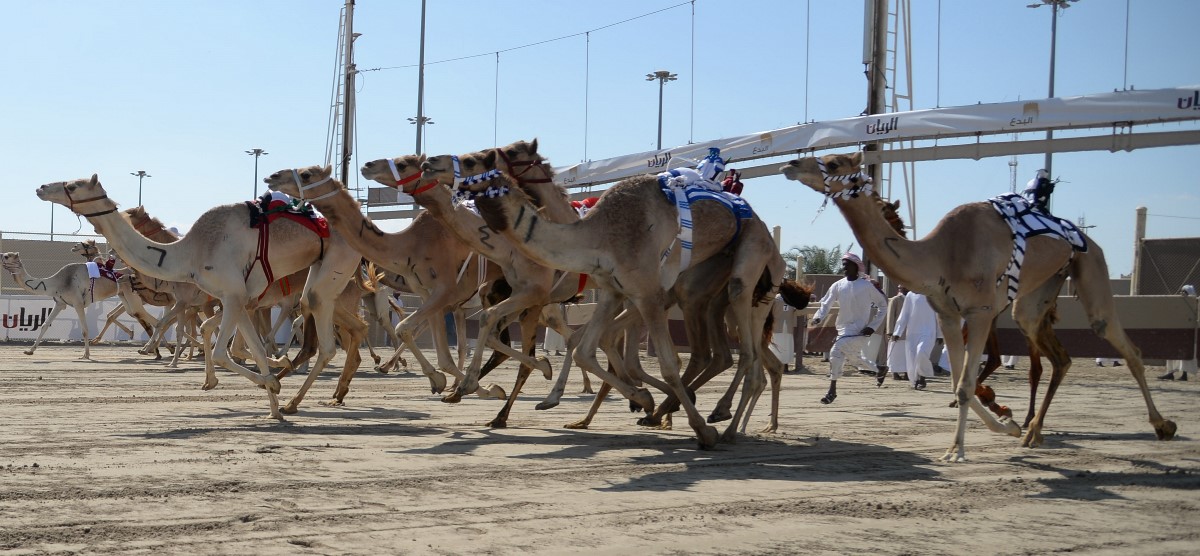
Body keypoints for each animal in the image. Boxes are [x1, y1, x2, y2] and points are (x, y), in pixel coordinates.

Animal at [36, 175, 362, 420]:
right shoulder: (238, 298)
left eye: (74, 185)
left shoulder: (231, 296)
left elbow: (221, 350)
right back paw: (312, 392)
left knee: (327, 336)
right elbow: (250, 347)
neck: (189, 253)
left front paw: (270, 383)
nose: (41, 187)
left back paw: (304, 394)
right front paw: (273, 407)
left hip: (333, 269)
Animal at [259, 165, 506, 401]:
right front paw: (443, 381)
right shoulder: (442, 300)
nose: (272, 177)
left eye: (307, 174)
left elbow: (410, 330)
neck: (411, 244)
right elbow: (425, 339)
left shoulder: (447, 297)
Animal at [428, 145, 788, 448]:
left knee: (744, 352)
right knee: (718, 354)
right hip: (699, 291)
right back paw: (677, 412)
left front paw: (700, 429)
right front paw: (642, 400)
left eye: (475, 159)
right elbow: (585, 349)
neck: (595, 233)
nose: (430, 160)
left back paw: (722, 424)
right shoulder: (611, 291)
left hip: (749, 267)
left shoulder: (644, 292)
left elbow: (665, 364)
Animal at [781, 151, 1176, 461]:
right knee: (1058, 355)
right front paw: (1007, 424)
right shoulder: (949, 314)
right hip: (1035, 298)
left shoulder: (980, 312)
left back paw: (1163, 425)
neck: (939, 256)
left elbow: (965, 384)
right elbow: (959, 382)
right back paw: (1033, 432)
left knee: (1120, 340)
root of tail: (1083, 237)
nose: (791, 163)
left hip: (1090, 265)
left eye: (833, 162)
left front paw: (957, 449)